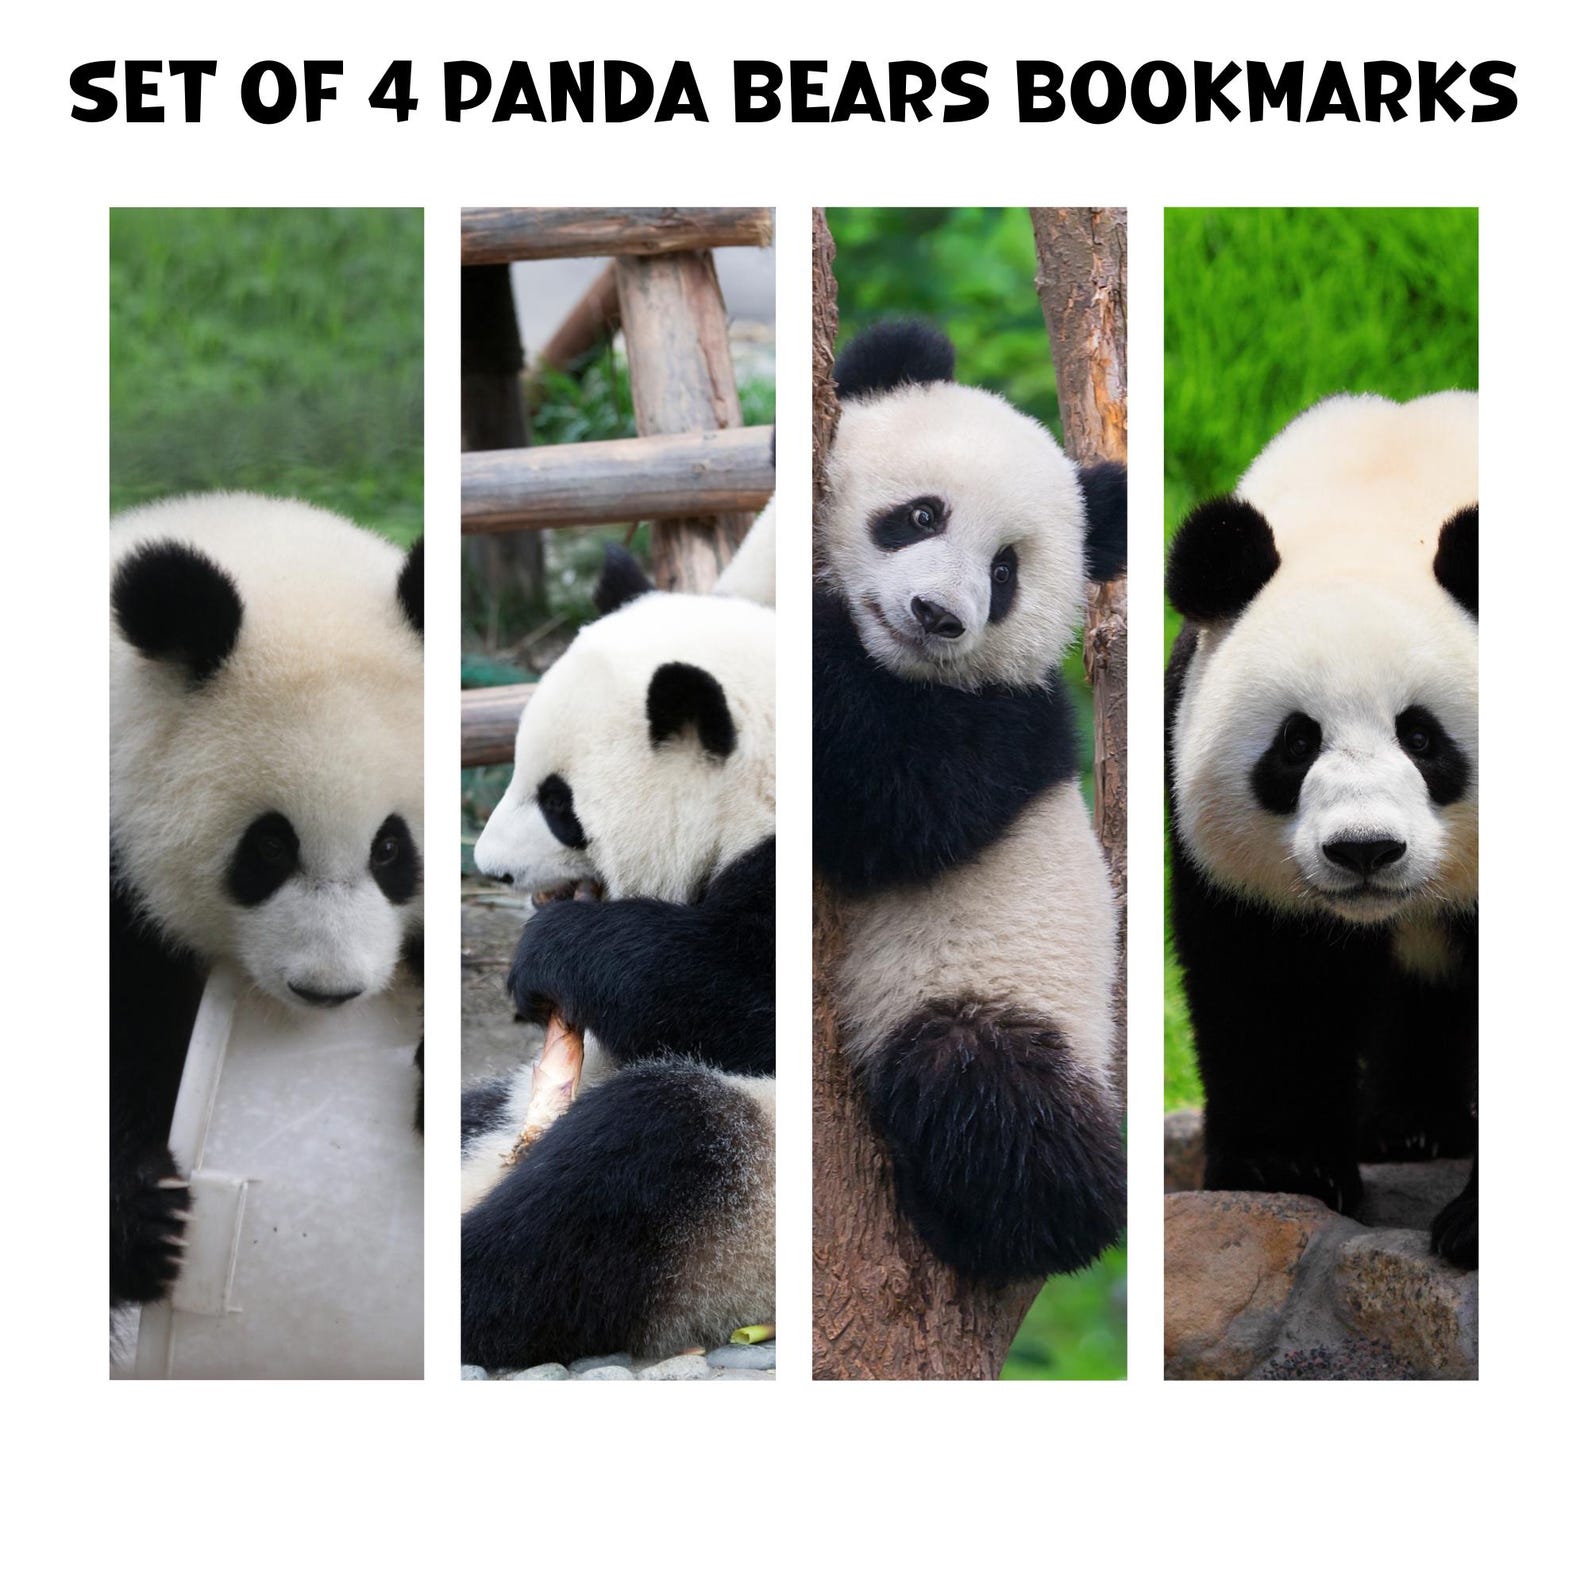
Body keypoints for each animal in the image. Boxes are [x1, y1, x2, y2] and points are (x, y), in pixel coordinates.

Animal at [462, 542, 774, 1371]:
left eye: (558, 803)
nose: (488, 870)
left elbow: (740, 999)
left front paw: (548, 956)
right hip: (504, 1102)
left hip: (744, 1210)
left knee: (624, 1170)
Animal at [814, 319, 1128, 1286]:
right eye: (923, 515)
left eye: (1004, 571)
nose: (936, 615)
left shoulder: (1009, 724)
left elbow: (901, 799)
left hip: (1001, 990)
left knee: (994, 1096)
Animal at [1165, 392, 1478, 1269]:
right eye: (1296, 743)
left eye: (1423, 738)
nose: (1365, 850)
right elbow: (1270, 978)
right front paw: (1286, 1168)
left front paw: (1471, 1231)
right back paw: (1411, 1124)